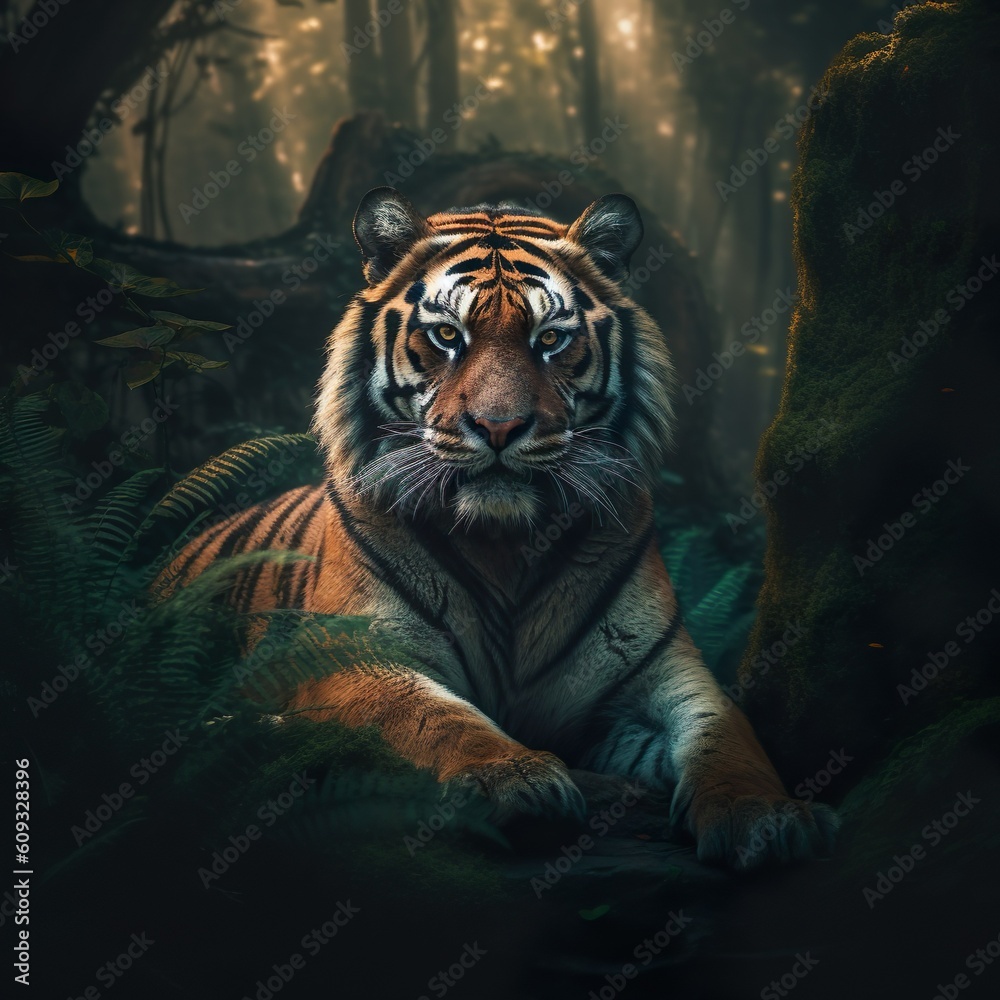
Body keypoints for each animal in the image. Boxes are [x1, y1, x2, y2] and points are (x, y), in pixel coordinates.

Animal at [157, 187, 838, 869]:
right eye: (446, 335)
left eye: (551, 339)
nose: (500, 427)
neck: (506, 546)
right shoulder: (358, 657)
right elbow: (435, 719)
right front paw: (514, 781)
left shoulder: (668, 673)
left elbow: (726, 739)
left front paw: (765, 816)